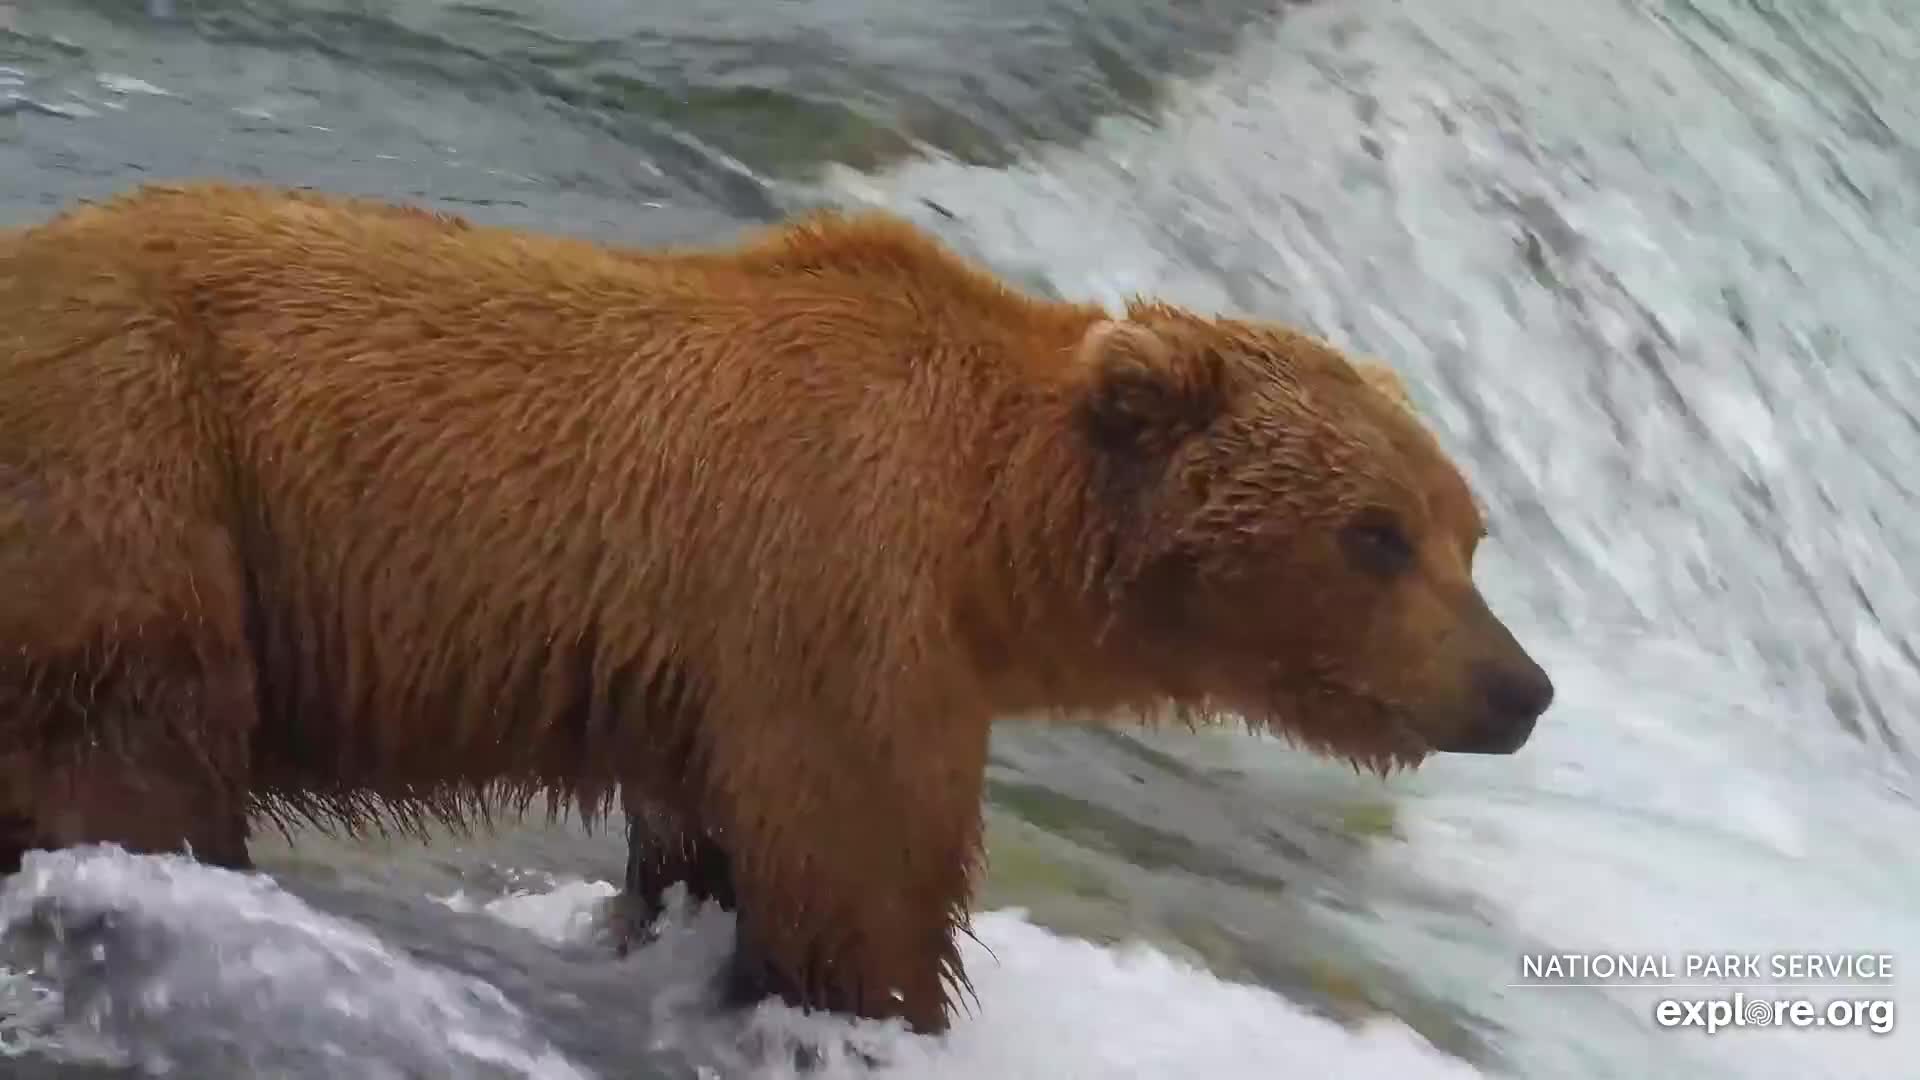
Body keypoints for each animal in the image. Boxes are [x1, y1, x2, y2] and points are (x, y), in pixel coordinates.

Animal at [0, 182, 1554, 1037]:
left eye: (1469, 534)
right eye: (1375, 534)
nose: (1520, 689)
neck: (990, 534)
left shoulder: (705, 679)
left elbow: (713, 848)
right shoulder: (834, 595)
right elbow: (862, 879)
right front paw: (881, 1002)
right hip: (144, 468)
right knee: (135, 744)